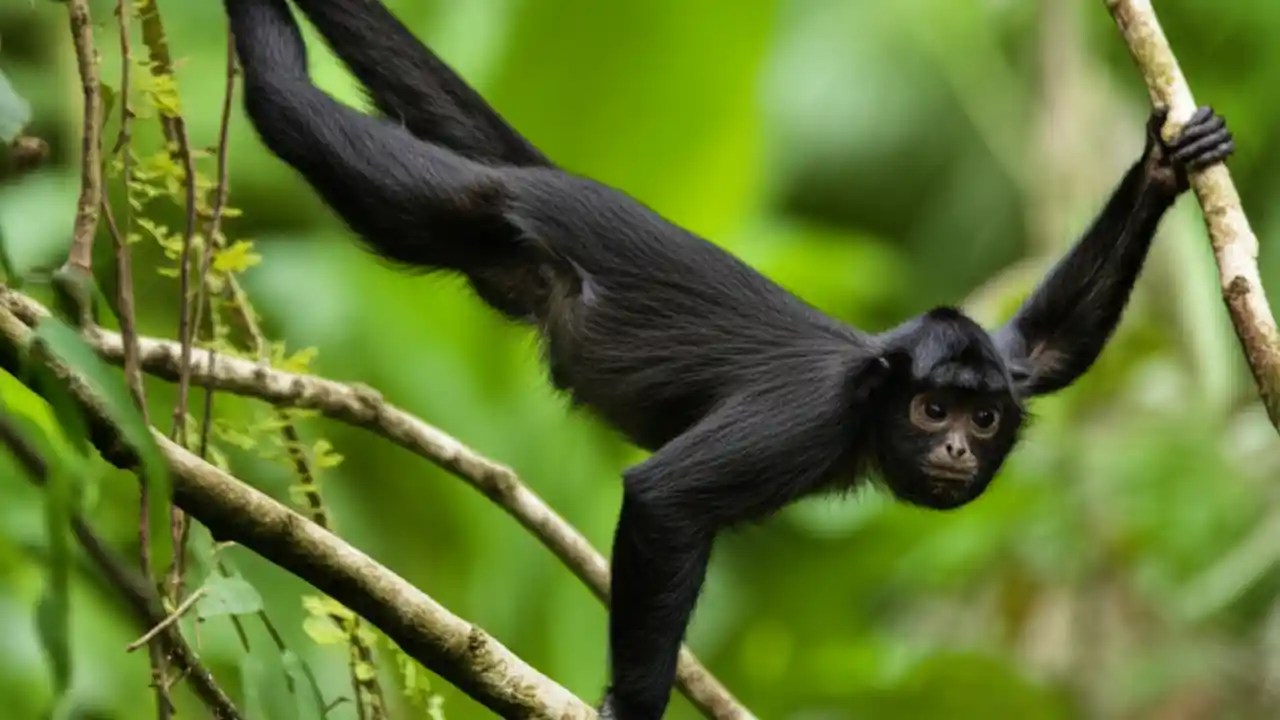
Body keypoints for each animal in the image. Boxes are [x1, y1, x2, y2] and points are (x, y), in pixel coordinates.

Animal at [220, 0, 1235, 716]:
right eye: (931, 411)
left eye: (983, 417)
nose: (956, 448)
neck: (872, 395)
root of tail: (560, 182)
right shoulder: (811, 415)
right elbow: (664, 499)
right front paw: (632, 710)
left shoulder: (1006, 362)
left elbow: (1051, 345)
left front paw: (1161, 166)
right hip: (477, 207)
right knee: (296, 115)